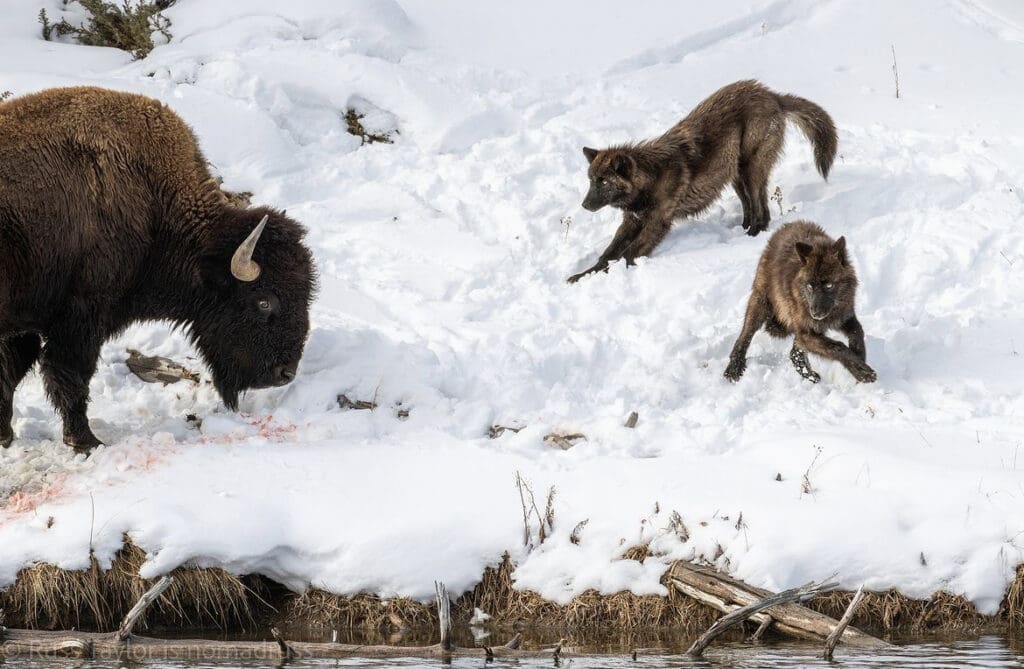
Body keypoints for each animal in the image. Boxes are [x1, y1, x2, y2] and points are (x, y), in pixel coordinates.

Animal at [0, 87, 315, 452]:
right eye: (264, 301)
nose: (285, 373)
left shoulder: (27, 322)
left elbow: (11, 372)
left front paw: (4, 435)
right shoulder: (82, 317)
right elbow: (69, 376)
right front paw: (87, 441)